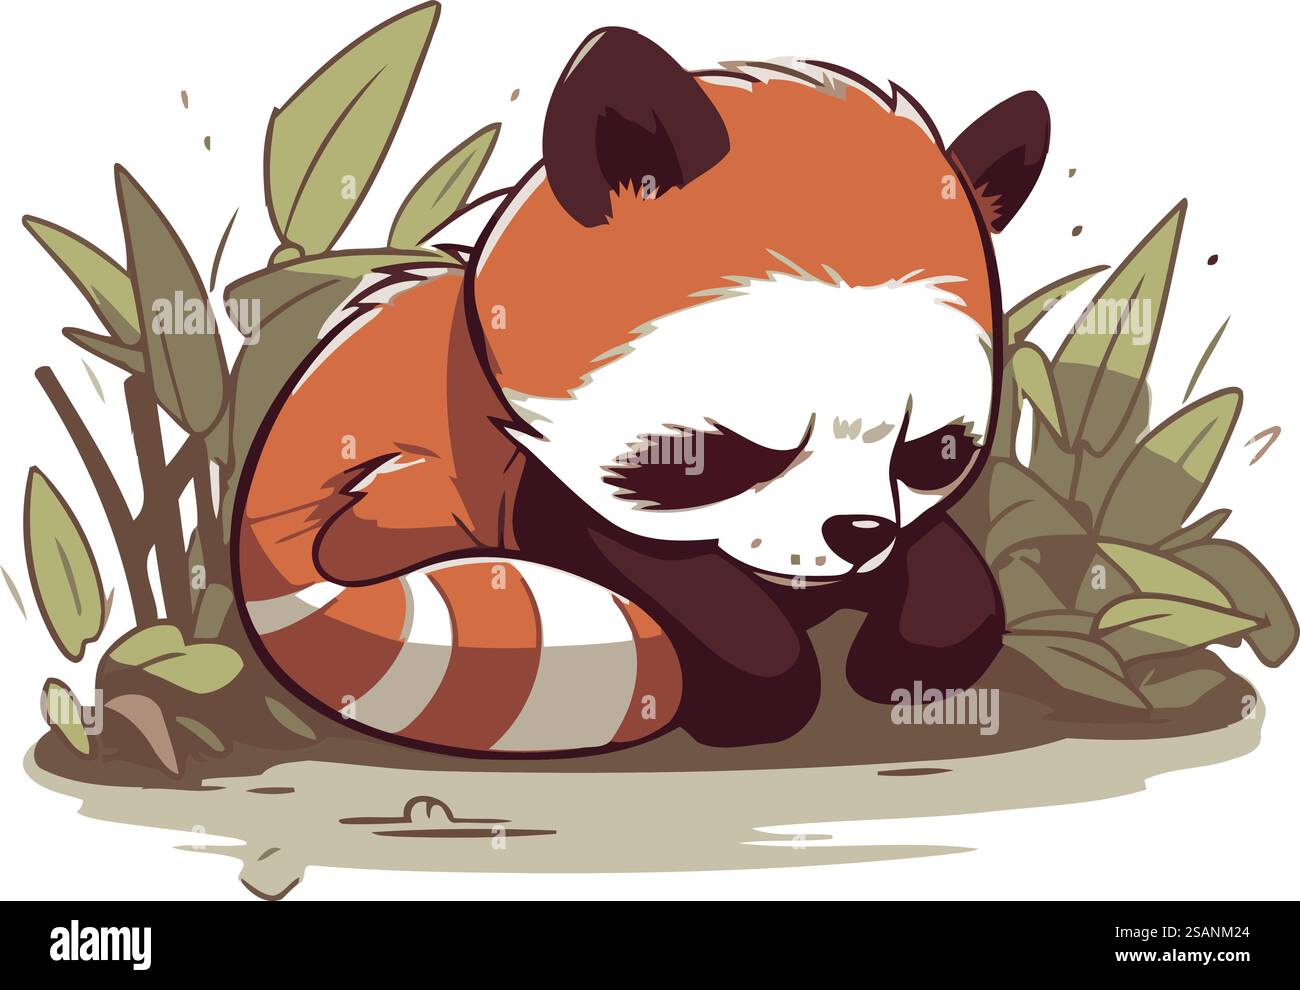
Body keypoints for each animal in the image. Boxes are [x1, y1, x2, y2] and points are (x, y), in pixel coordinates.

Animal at [232, 26, 1050, 755]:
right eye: (721, 455)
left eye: (934, 454)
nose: (856, 536)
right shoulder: (522, 476)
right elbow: (662, 576)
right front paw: (753, 690)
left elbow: (944, 573)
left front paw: (910, 653)